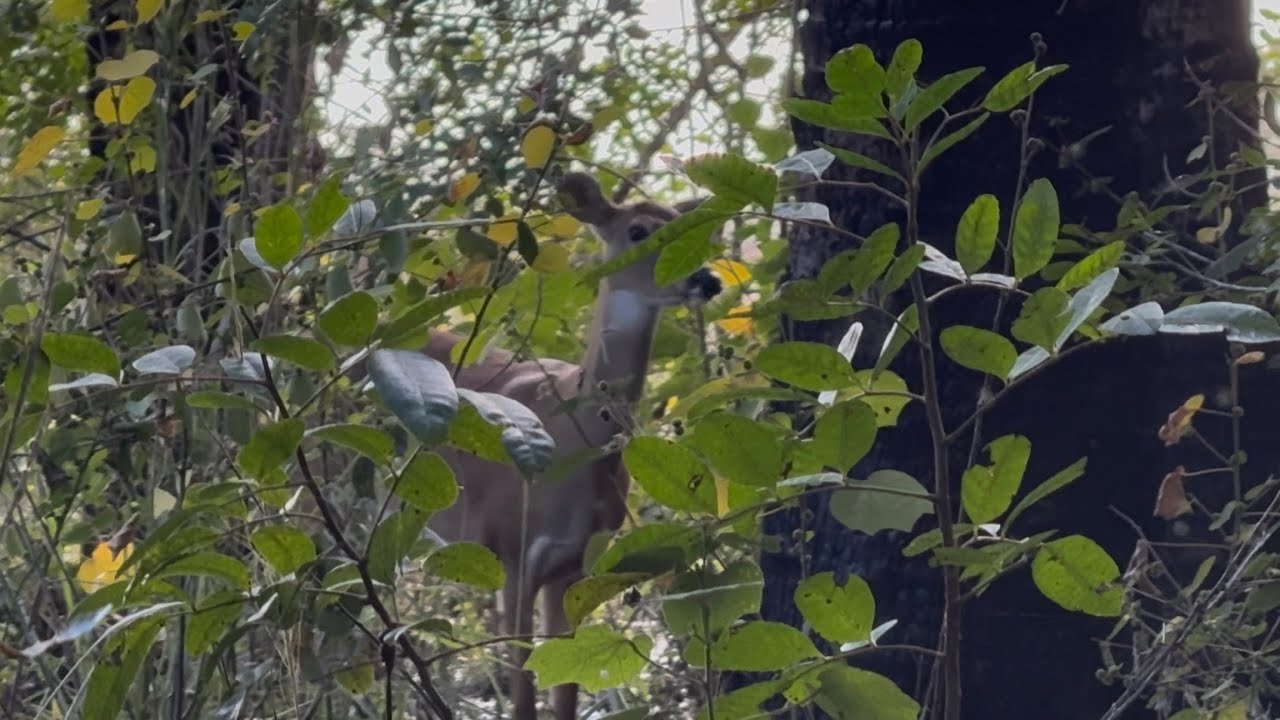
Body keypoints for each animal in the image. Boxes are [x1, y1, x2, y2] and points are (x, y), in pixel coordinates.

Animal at [383, 173, 721, 719]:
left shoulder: (575, 568)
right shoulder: (510, 550)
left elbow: (565, 691)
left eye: (694, 225)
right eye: (638, 230)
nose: (706, 280)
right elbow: (522, 693)